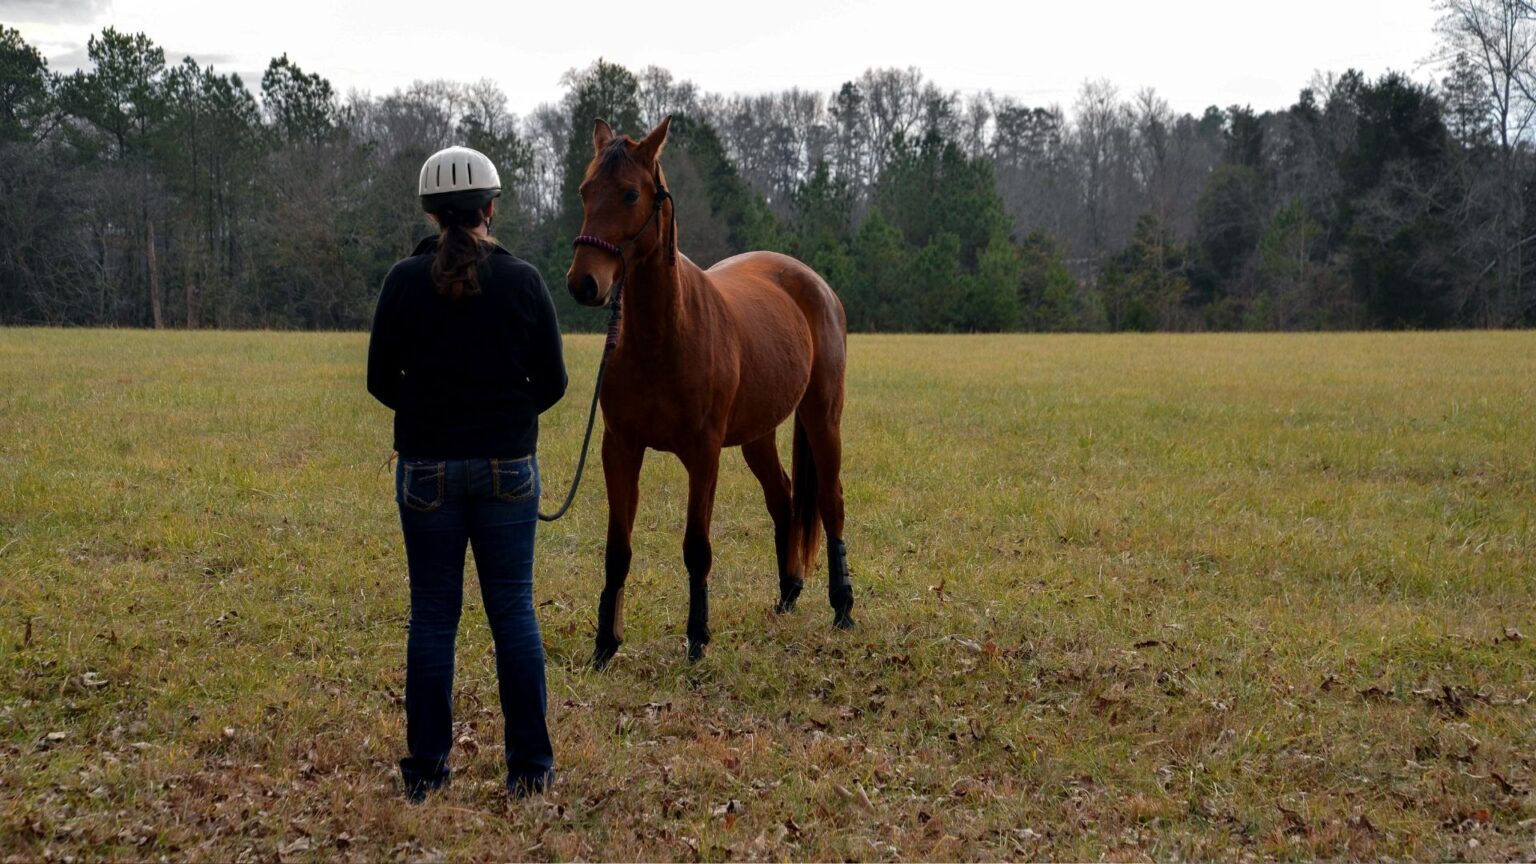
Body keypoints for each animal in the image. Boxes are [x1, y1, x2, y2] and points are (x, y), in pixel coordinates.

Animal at [565, 116, 854, 665]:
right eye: (586, 191)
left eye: (631, 193)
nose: (583, 284)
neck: (661, 336)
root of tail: (814, 282)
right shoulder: (620, 448)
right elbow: (617, 549)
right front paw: (605, 644)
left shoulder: (703, 454)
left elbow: (696, 546)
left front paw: (697, 636)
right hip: (758, 436)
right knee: (783, 497)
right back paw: (788, 593)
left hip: (822, 418)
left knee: (830, 504)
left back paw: (843, 606)